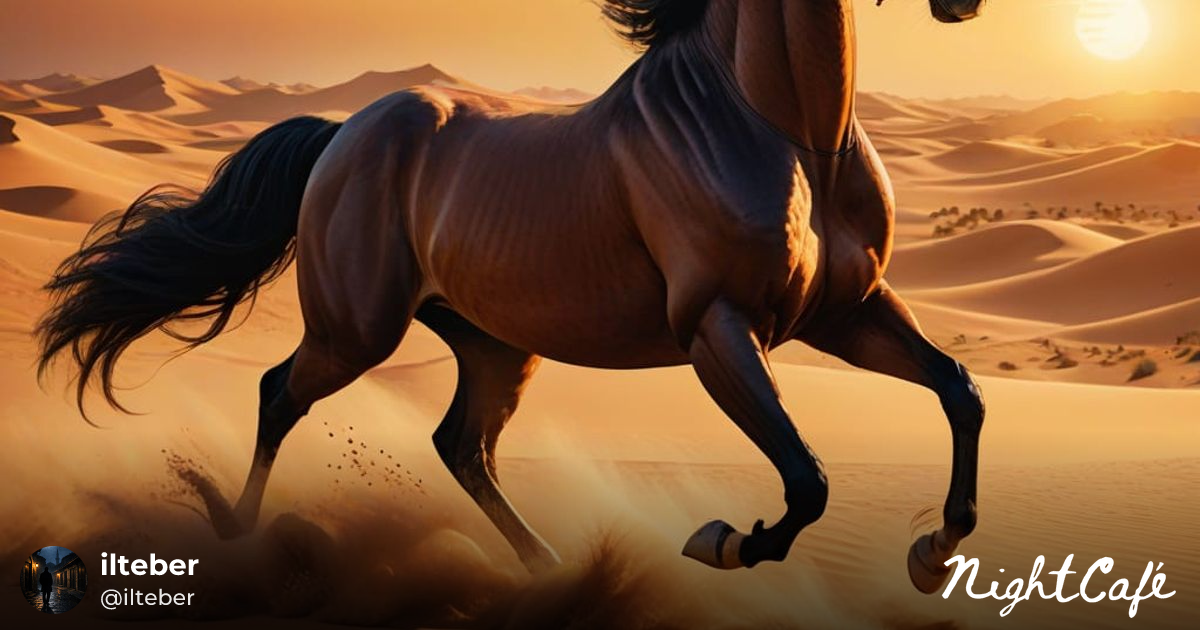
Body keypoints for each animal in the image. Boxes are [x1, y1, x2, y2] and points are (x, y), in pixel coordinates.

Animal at [37, 0, 987, 593]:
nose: (964, 7)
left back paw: (550, 568)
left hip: (497, 345)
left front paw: (933, 553)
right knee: (280, 394)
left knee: (461, 446)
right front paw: (721, 543)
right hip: (356, 332)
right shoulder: (718, 328)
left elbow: (959, 393)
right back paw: (234, 534)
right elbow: (807, 479)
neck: (784, 129)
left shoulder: (846, 314)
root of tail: (343, 133)